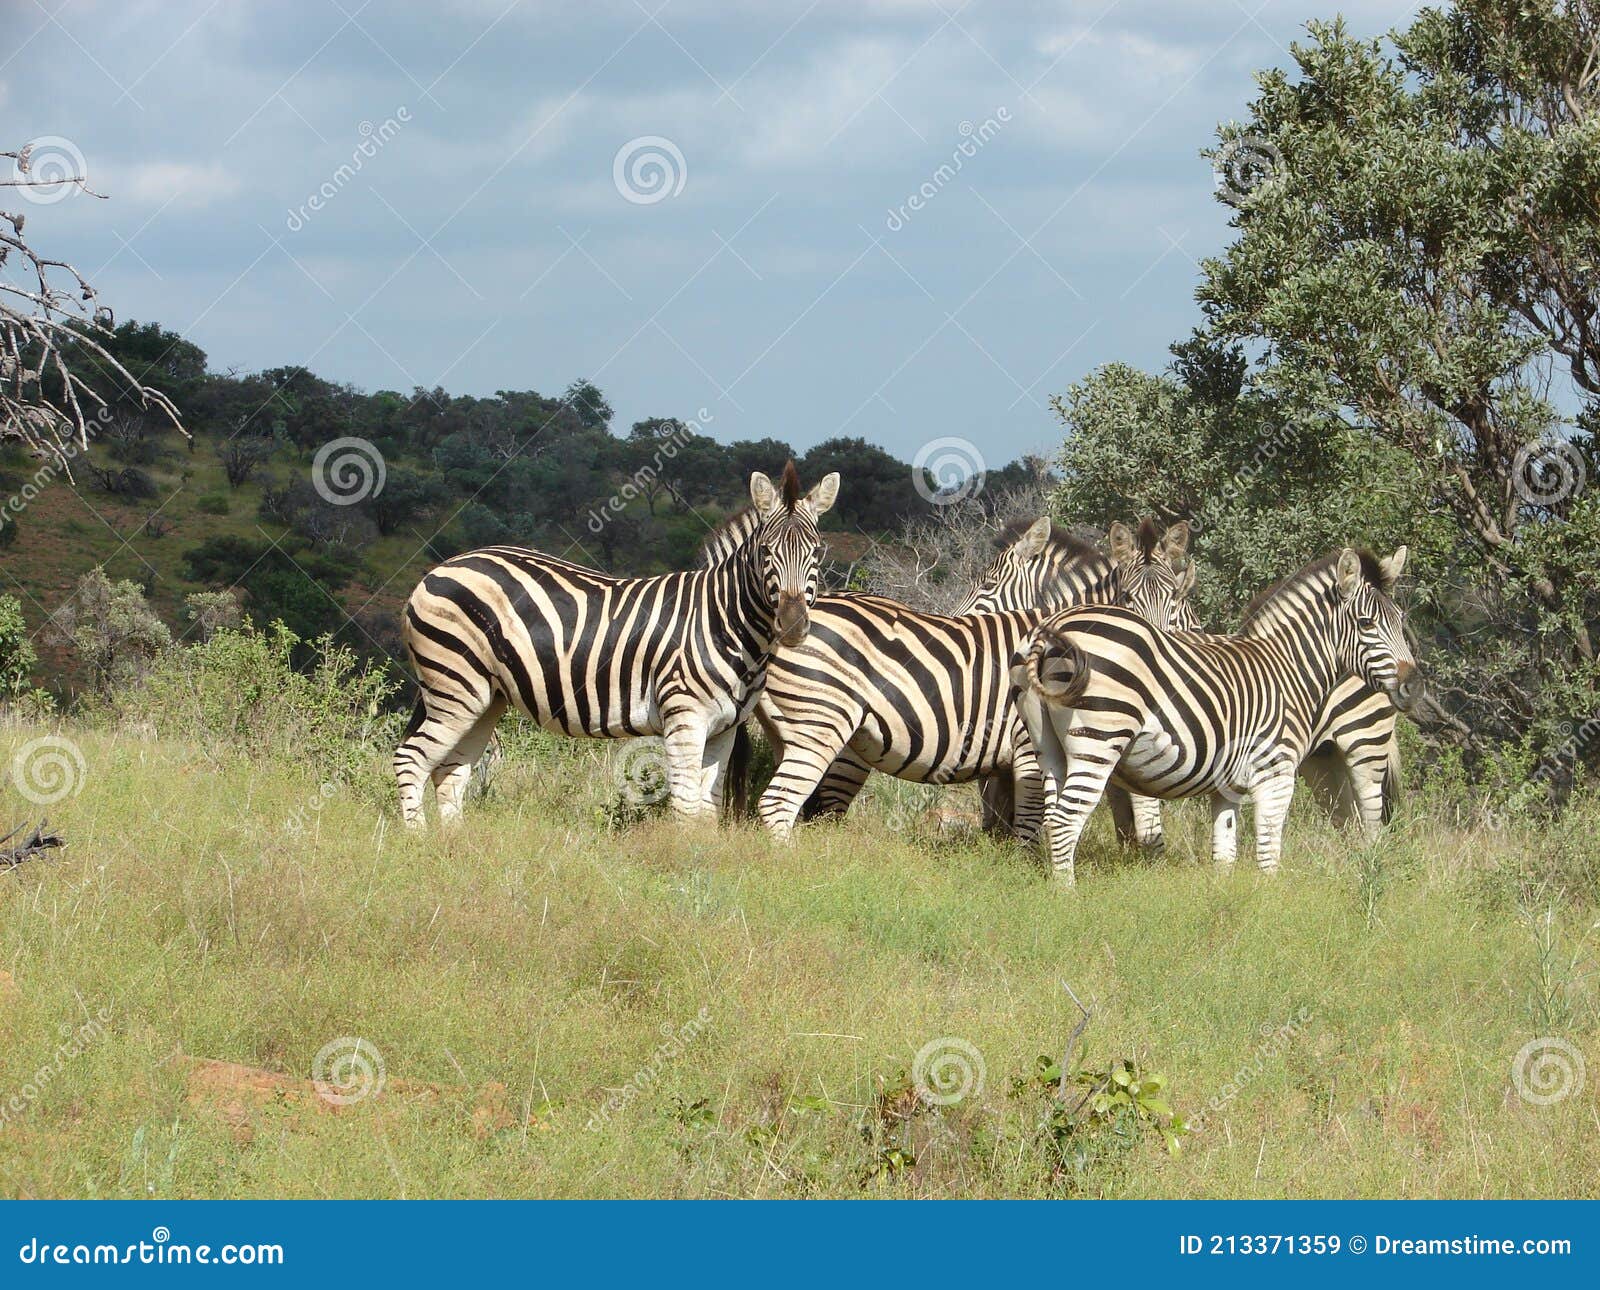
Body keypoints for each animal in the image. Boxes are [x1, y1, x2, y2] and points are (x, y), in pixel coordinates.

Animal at [394, 462, 840, 827]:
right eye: (766, 551)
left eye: (817, 551)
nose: (793, 625)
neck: (725, 621)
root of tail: (440, 568)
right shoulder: (685, 719)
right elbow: (685, 808)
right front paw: (684, 865)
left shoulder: (724, 729)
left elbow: (706, 810)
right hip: (455, 685)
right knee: (411, 758)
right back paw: (420, 842)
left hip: (485, 696)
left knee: (450, 770)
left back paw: (455, 845)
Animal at [750, 520, 1192, 842]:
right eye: (1128, 599)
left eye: (1175, 601)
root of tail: (785, 625)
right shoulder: (1029, 748)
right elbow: (1034, 824)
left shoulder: (1005, 764)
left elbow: (1007, 824)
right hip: (826, 725)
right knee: (789, 805)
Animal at [1011, 546, 1420, 884]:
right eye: (1367, 623)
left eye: (1401, 619)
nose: (1413, 687)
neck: (1287, 668)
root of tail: (1051, 631)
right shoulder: (1275, 773)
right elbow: (1268, 854)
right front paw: (1266, 905)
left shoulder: (1228, 787)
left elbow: (1224, 855)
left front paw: (1224, 908)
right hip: (1099, 742)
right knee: (1065, 822)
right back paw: (1068, 898)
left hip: (1049, 750)